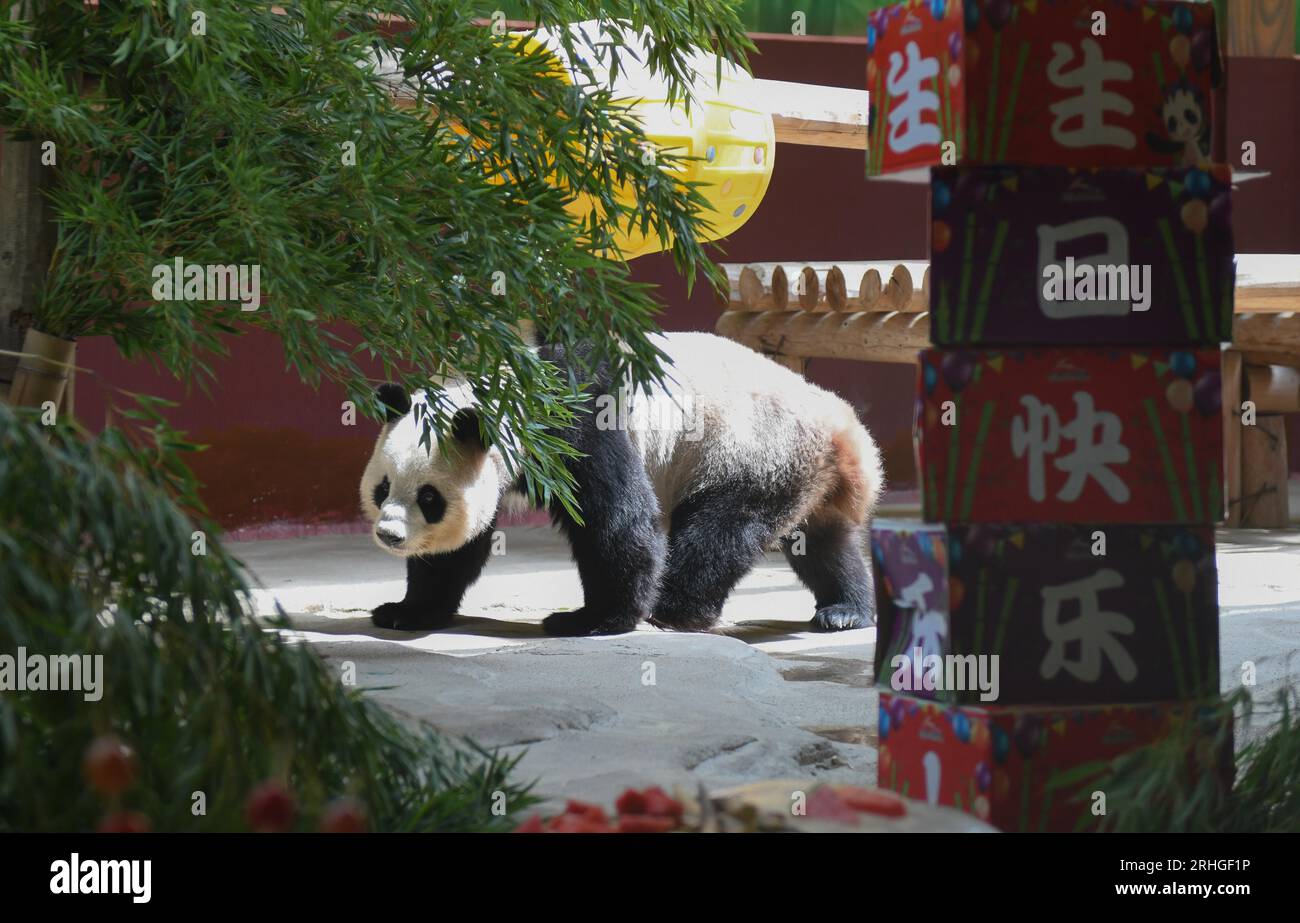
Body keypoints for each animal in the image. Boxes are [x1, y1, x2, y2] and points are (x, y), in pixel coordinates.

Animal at [359, 331, 883, 637]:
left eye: (429, 498)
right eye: (383, 489)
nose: (389, 535)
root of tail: (844, 428)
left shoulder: (573, 420)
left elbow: (615, 516)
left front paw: (593, 619)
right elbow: (456, 551)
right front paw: (407, 610)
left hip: (752, 453)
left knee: (720, 528)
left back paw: (674, 609)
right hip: (799, 471)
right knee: (823, 544)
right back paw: (846, 608)